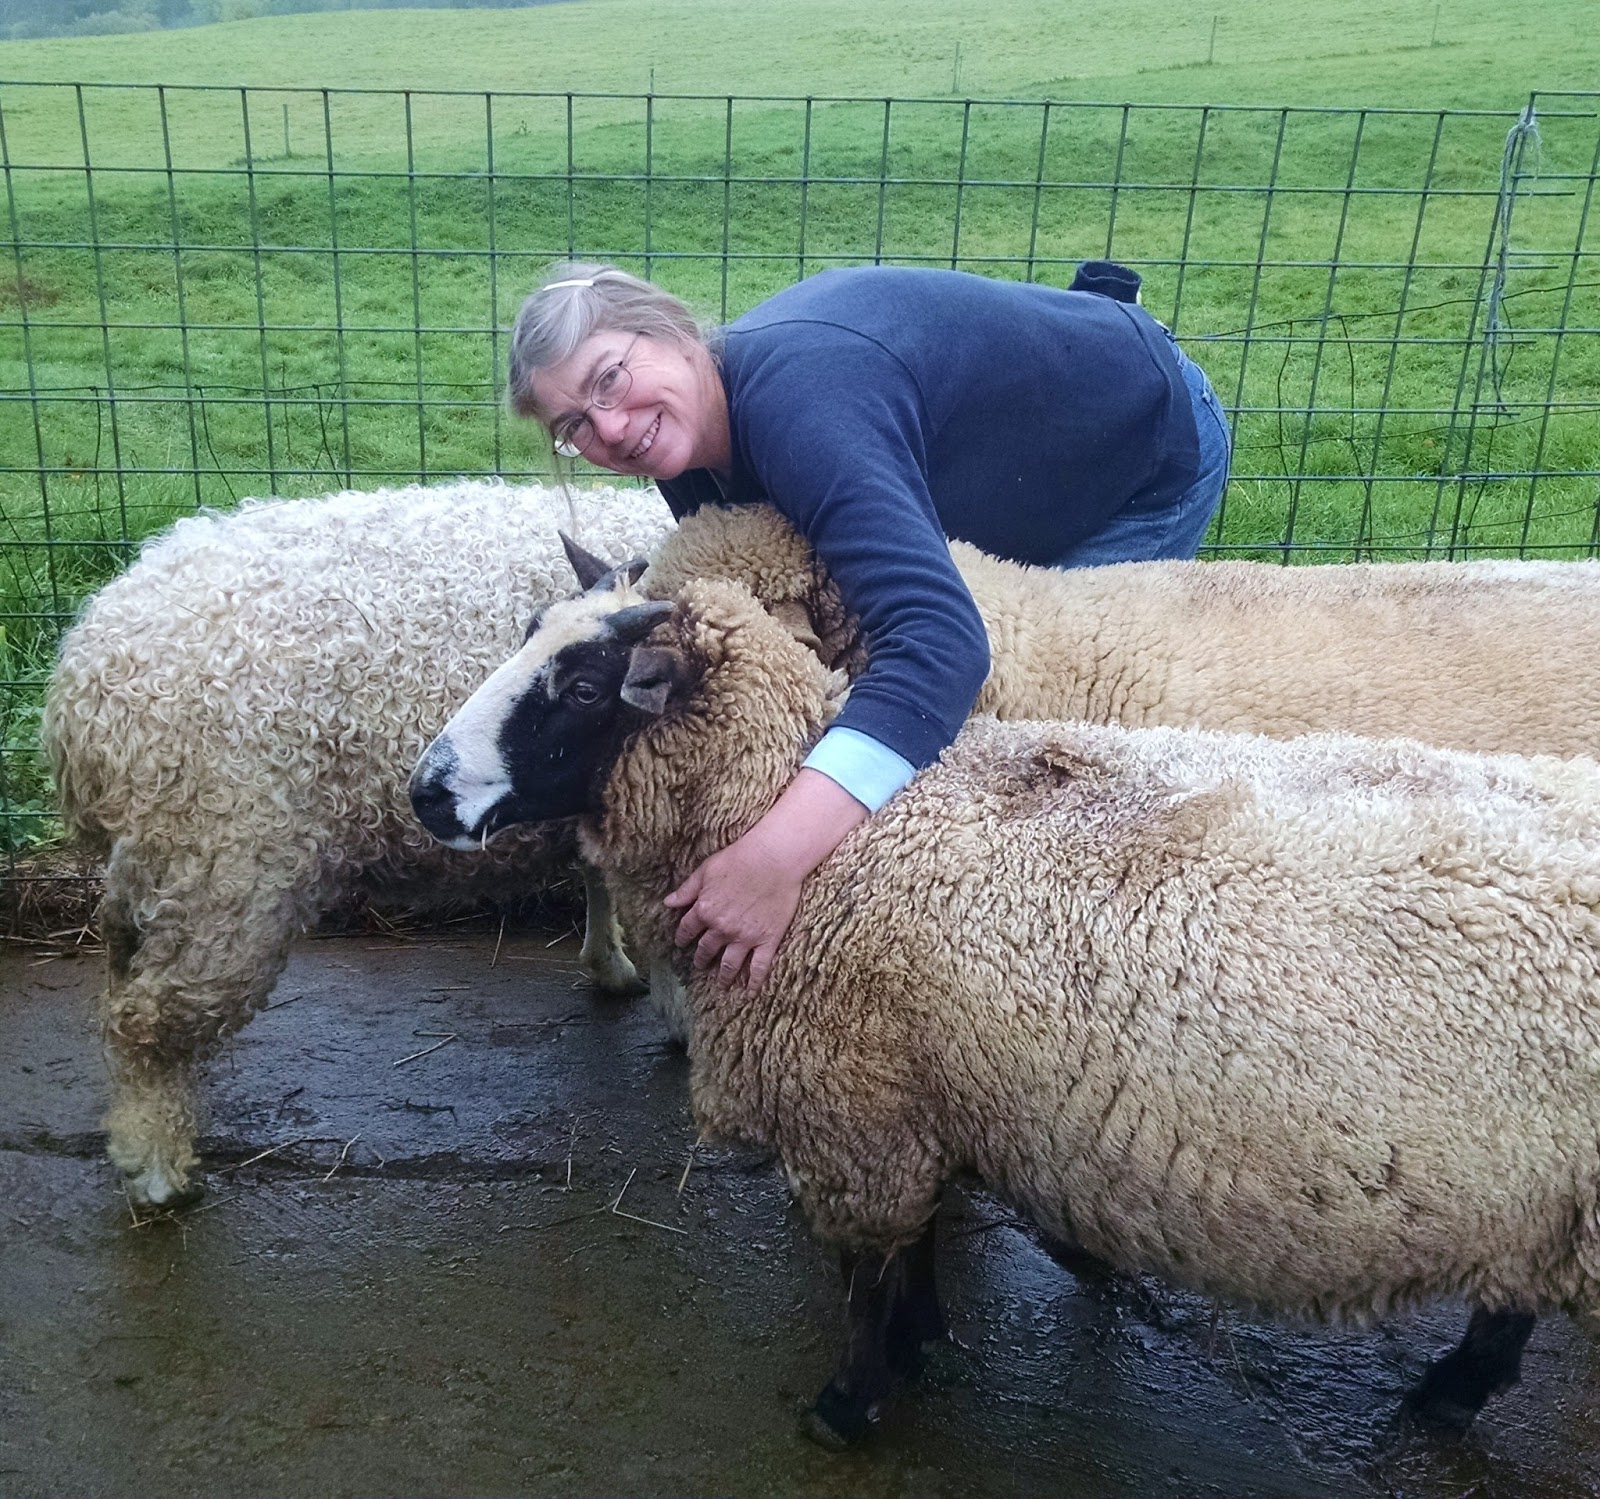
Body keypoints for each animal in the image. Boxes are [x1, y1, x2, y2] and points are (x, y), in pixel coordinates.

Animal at [42, 479, 674, 1209]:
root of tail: (82, 684)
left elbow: (605, 880)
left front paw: (612, 965)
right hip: (226, 859)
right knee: (148, 1020)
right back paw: (157, 1170)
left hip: (159, 852)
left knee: (121, 951)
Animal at [411, 570, 1600, 1446]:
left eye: (581, 689)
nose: (424, 791)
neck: (799, 819)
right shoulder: (915, 1092)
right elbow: (921, 1241)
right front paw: (926, 1343)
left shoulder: (858, 1108)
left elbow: (866, 1272)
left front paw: (849, 1405)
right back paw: (1449, 1394)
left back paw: (1450, 1392)